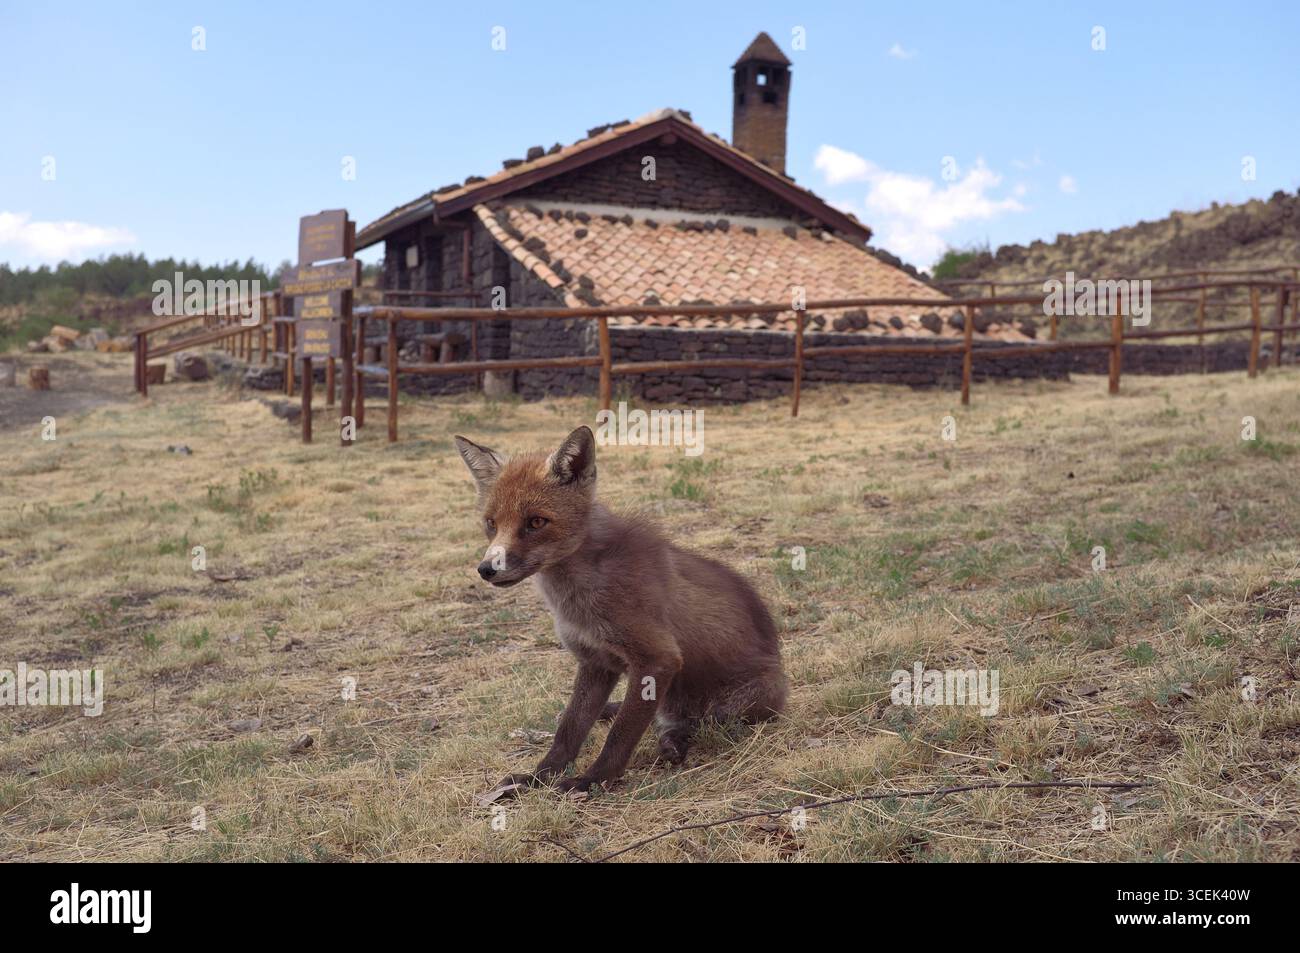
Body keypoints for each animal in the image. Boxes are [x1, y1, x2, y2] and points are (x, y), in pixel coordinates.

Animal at [455, 425, 787, 795]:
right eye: (491, 523)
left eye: (536, 522)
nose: (486, 569)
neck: (578, 600)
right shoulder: (594, 661)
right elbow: (568, 730)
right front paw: (539, 777)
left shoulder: (657, 659)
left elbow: (620, 734)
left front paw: (593, 780)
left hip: (726, 706)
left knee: (694, 725)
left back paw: (674, 744)